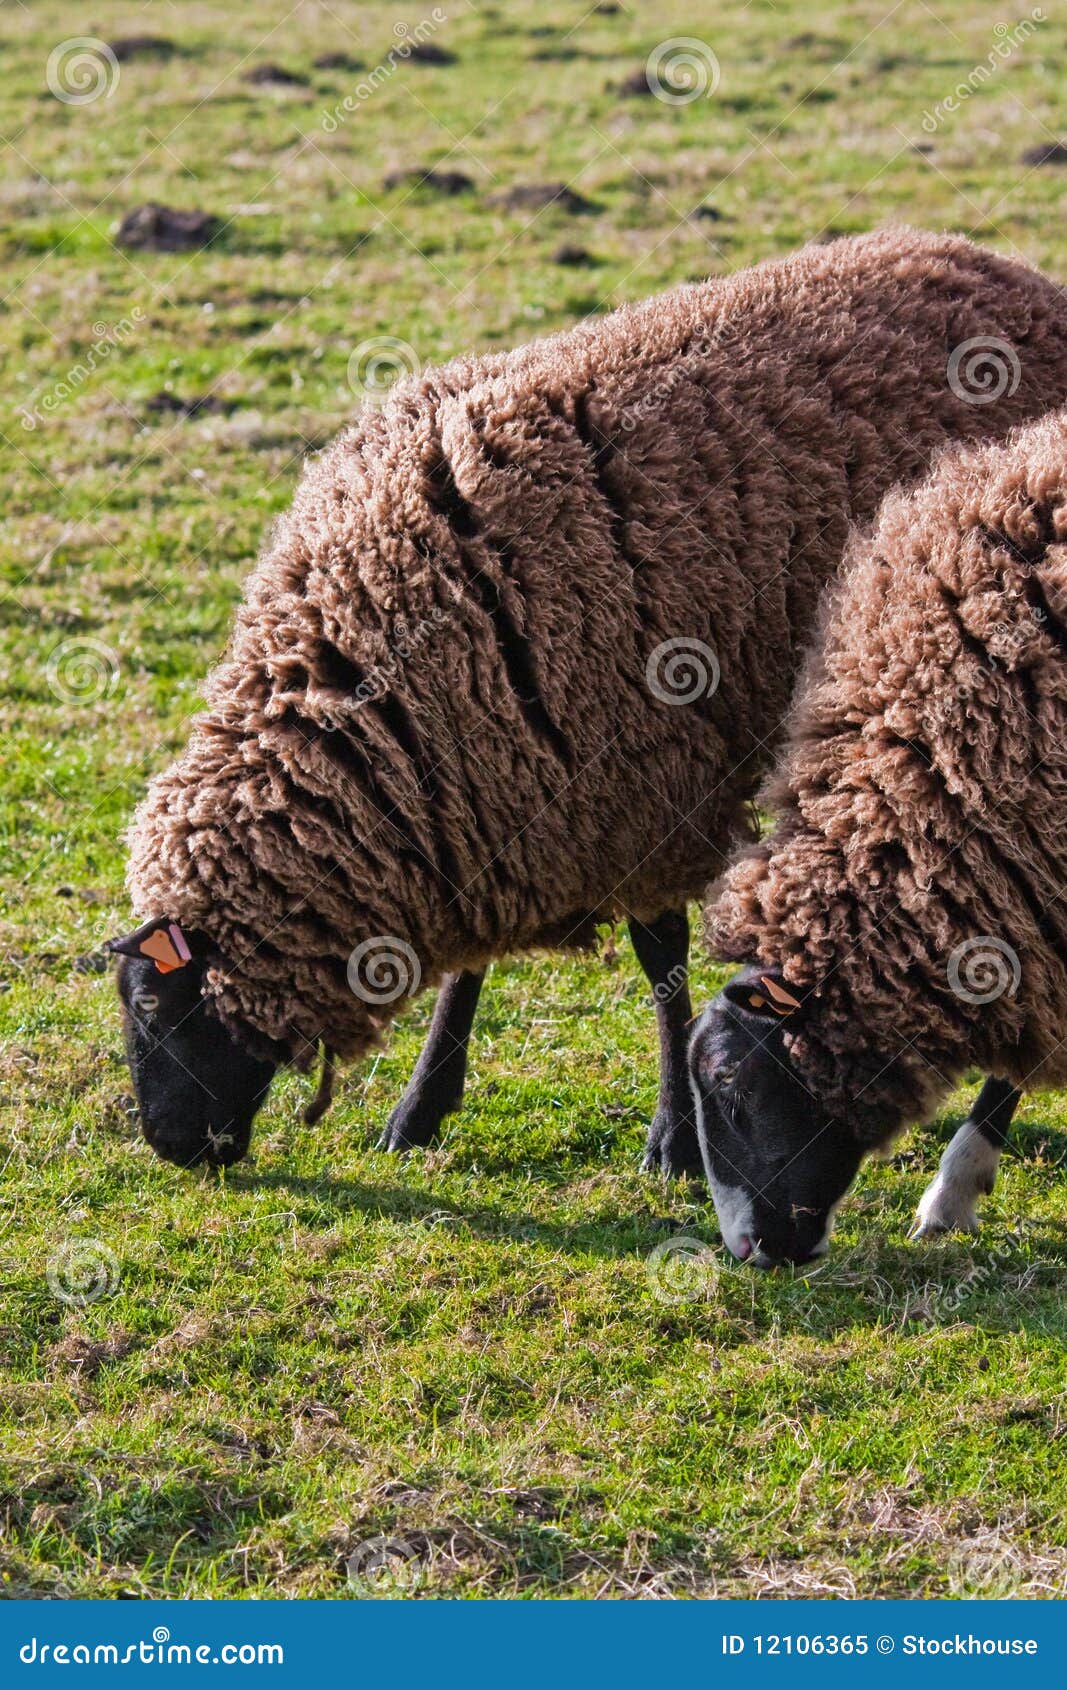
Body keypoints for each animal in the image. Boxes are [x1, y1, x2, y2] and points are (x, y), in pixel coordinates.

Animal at [109, 226, 1067, 1174]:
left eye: (153, 1006)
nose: (169, 1146)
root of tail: (1008, 272)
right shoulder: (487, 790)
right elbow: (468, 967)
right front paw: (420, 1109)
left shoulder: (643, 788)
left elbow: (661, 959)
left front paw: (673, 1138)